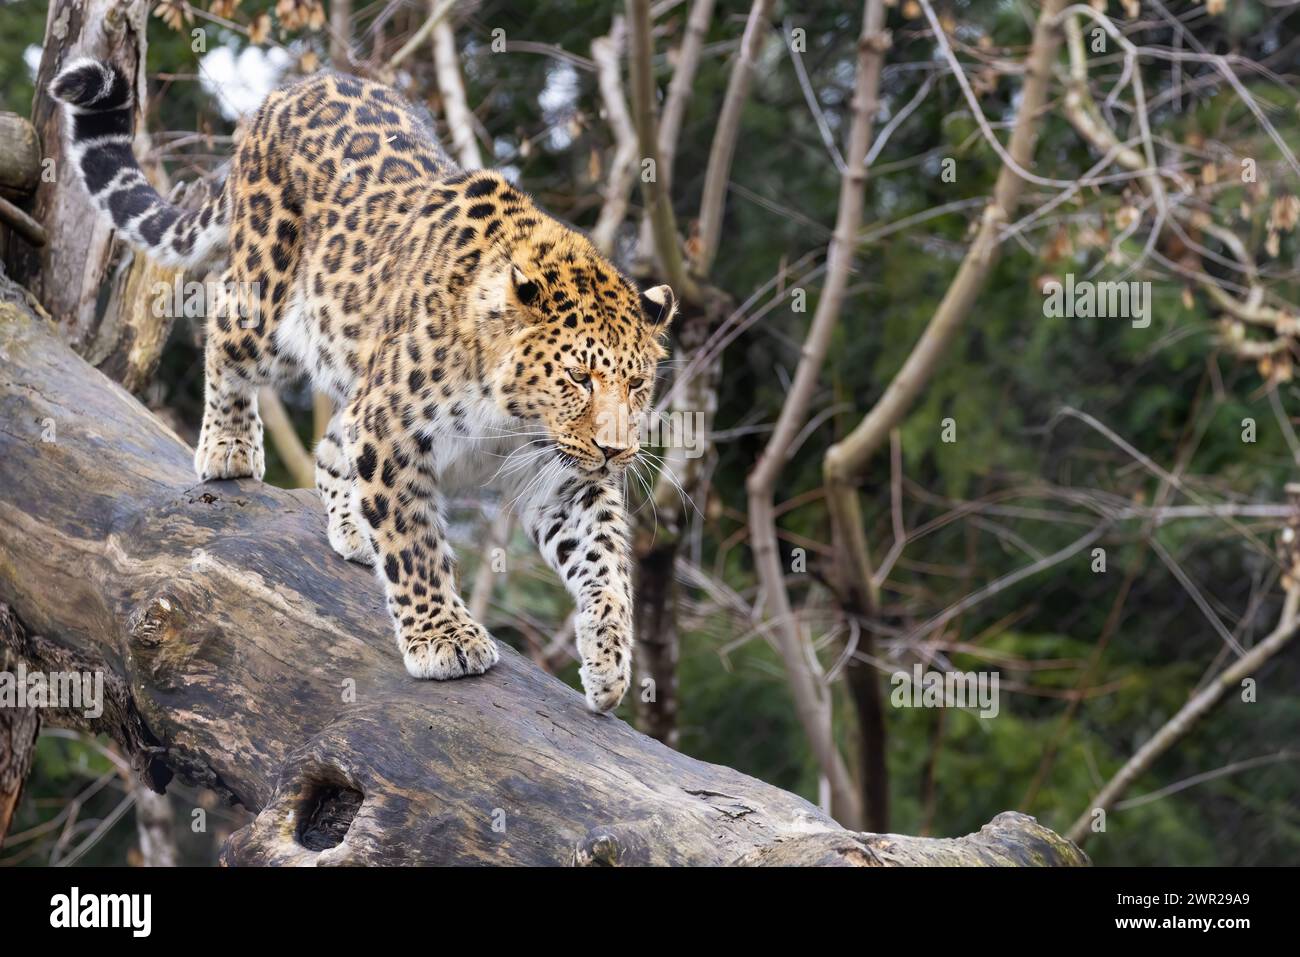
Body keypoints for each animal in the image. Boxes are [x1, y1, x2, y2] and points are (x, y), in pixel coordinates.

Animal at [50, 58, 677, 712]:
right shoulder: (393, 433)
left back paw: (350, 524)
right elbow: (413, 543)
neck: (513, 414)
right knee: (221, 327)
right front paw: (444, 638)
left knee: (331, 442)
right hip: (267, 310)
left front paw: (609, 659)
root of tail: (286, 92)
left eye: (636, 385)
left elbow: (604, 559)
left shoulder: (558, 475)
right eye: (579, 377)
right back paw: (229, 448)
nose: (617, 451)